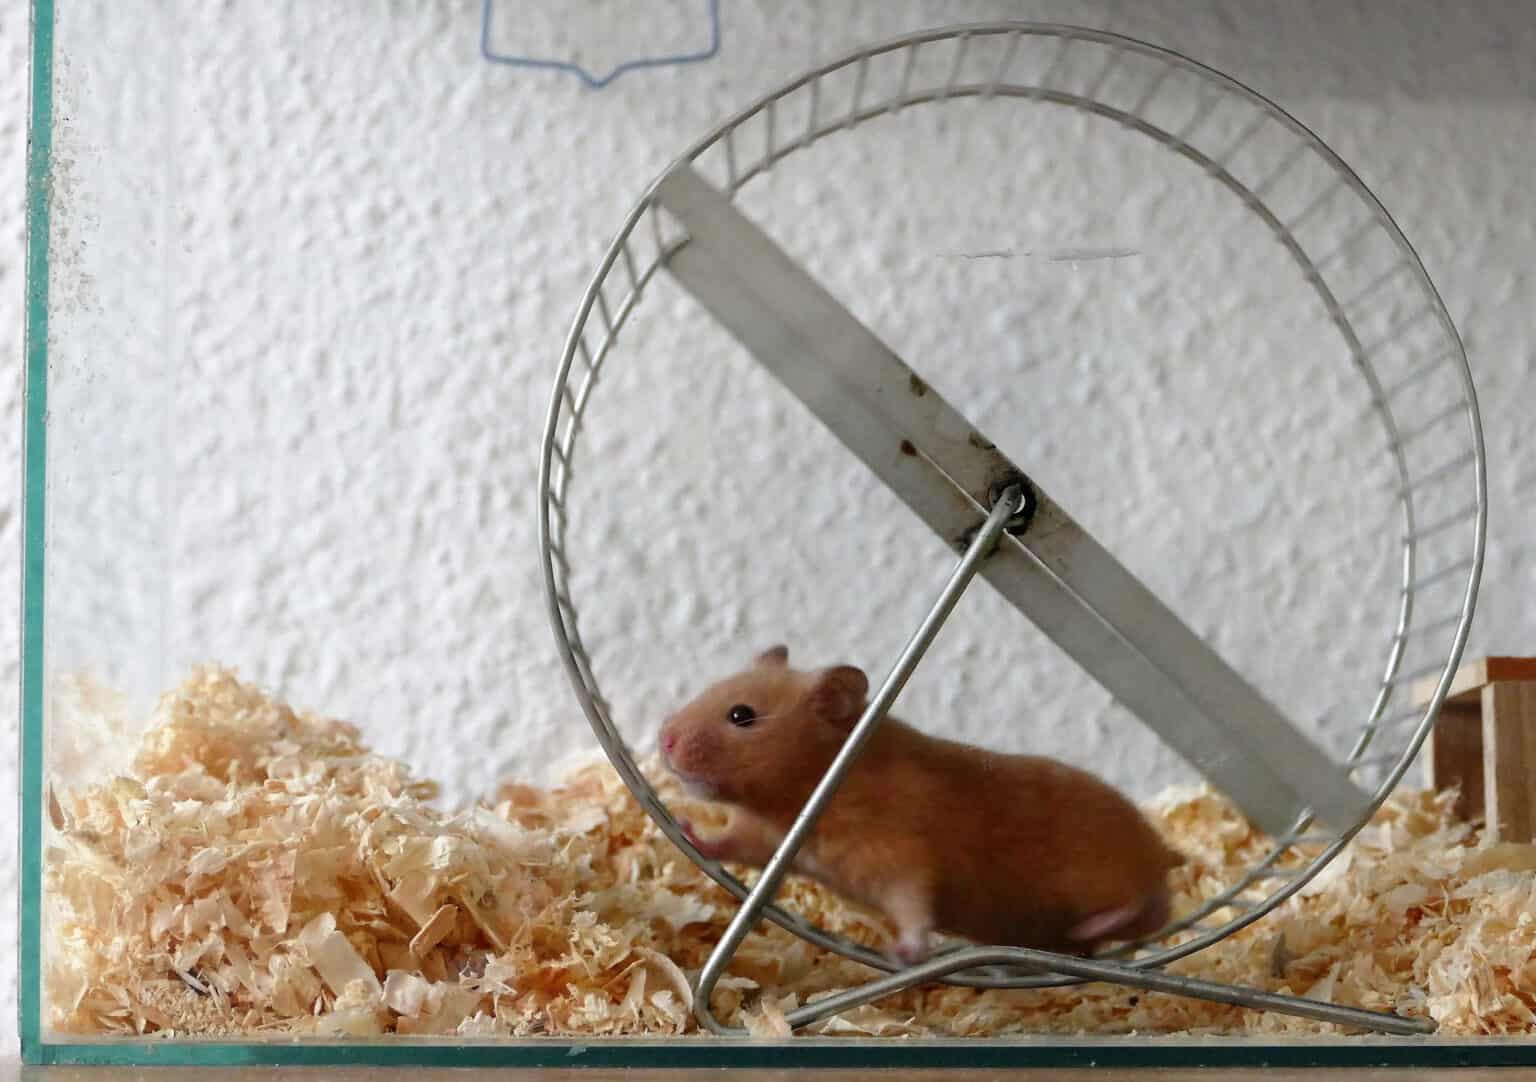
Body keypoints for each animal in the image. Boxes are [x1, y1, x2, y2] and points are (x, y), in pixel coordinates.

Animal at [658, 645, 1185, 965]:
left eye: (741, 716)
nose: (665, 740)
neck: (809, 794)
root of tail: (1163, 851)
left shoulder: (902, 858)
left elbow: (914, 908)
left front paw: (903, 953)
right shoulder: (768, 839)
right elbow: (728, 843)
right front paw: (684, 827)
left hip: (1109, 870)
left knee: (1152, 905)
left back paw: (1091, 924)